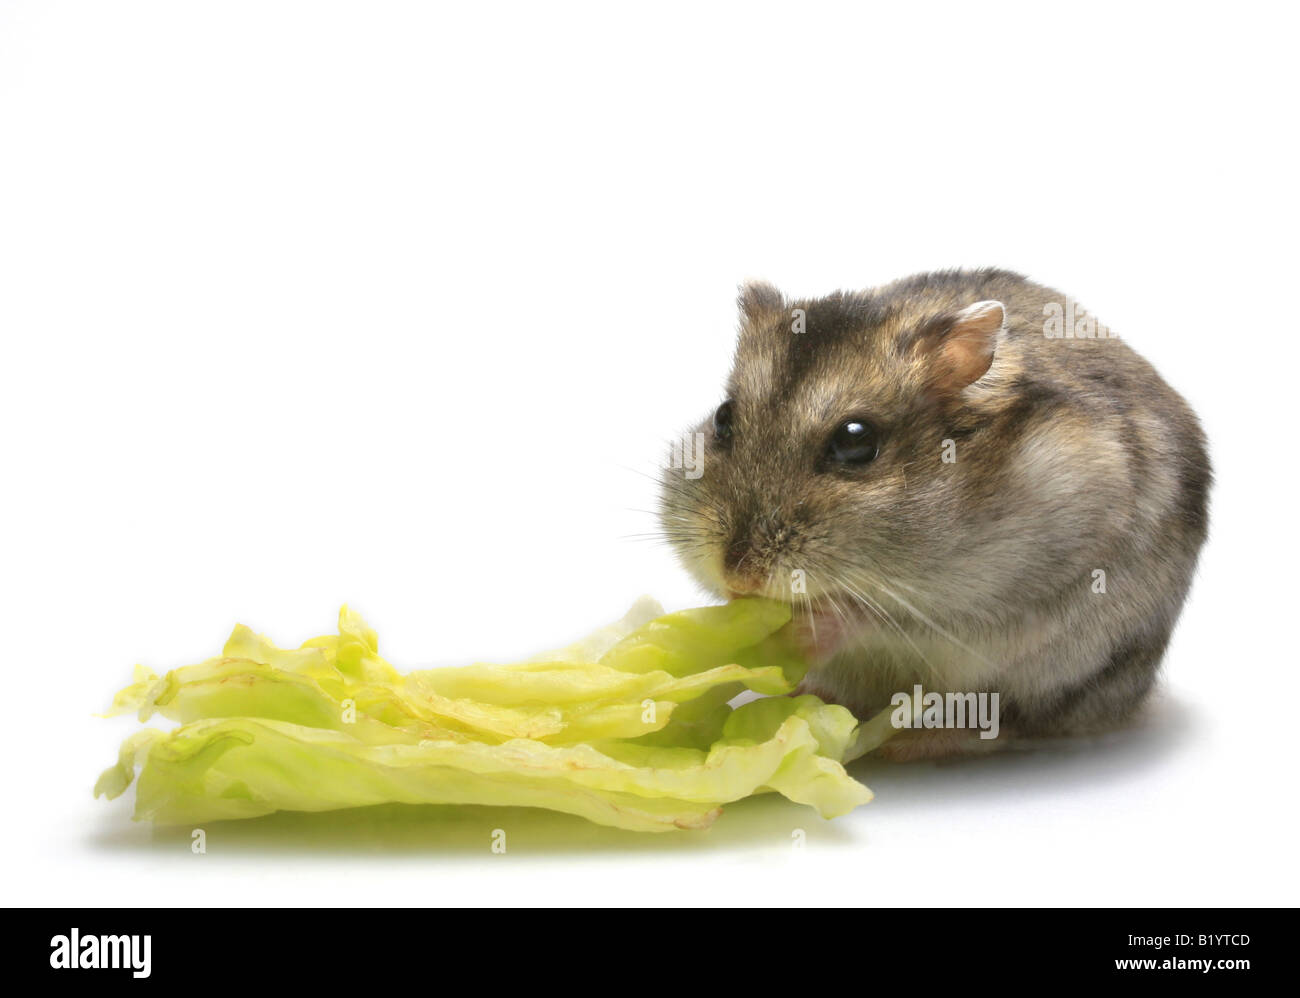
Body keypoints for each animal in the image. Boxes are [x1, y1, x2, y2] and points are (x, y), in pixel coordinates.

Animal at [659, 268, 1211, 759]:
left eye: (855, 441)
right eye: (723, 419)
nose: (739, 576)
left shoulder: (998, 597)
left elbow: (872, 617)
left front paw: (800, 628)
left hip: (1074, 673)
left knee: (1010, 725)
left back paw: (910, 742)